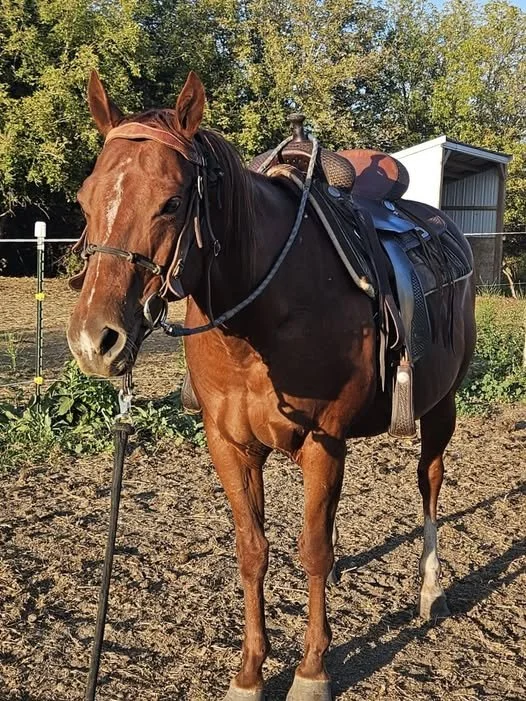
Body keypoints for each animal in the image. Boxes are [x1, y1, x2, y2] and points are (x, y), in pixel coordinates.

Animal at [67, 70, 476, 701]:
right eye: (85, 200)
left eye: (172, 201)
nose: (96, 340)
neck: (262, 315)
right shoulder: (229, 444)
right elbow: (253, 552)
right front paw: (249, 675)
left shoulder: (322, 442)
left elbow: (311, 551)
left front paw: (311, 672)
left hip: (441, 405)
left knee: (429, 482)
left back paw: (431, 592)